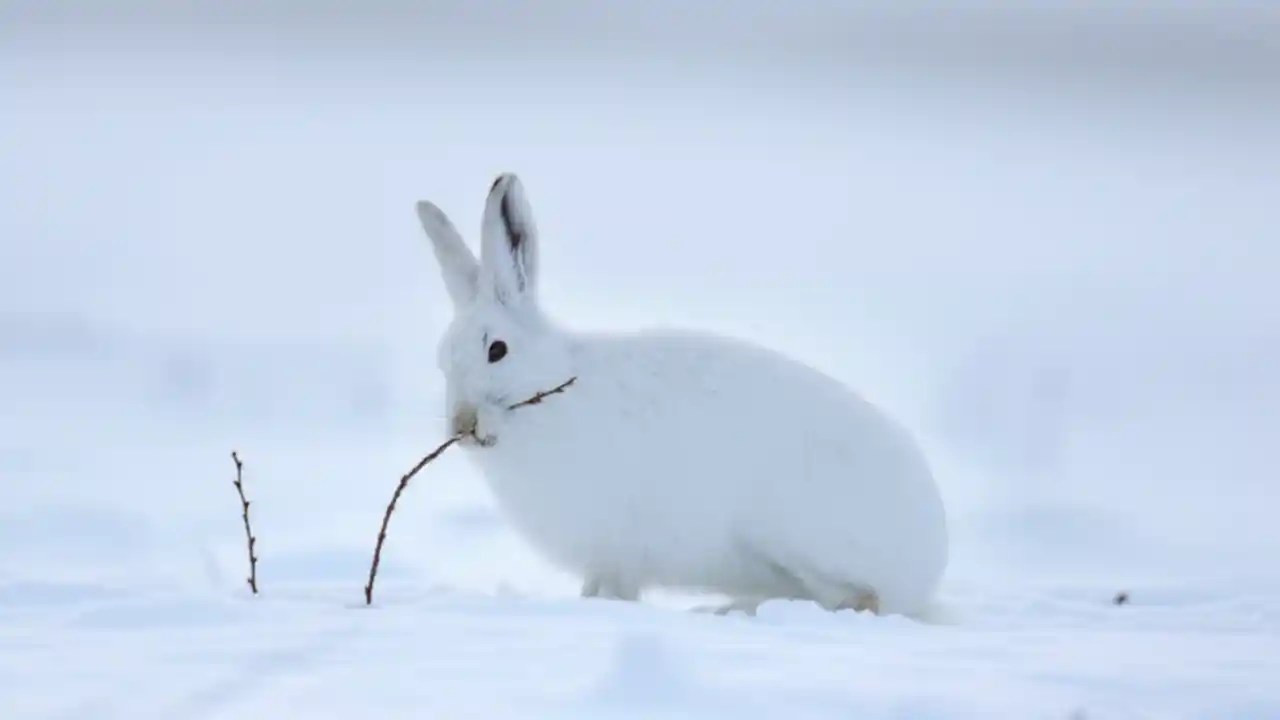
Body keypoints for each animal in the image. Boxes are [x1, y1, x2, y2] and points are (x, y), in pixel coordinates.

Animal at [414, 172, 948, 617]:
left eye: (497, 351)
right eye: (441, 361)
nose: (461, 424)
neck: (552, 394)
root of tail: (930, 558)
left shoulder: (618, 546)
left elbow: (612, 589)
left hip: (798, 539)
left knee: (864, 597)